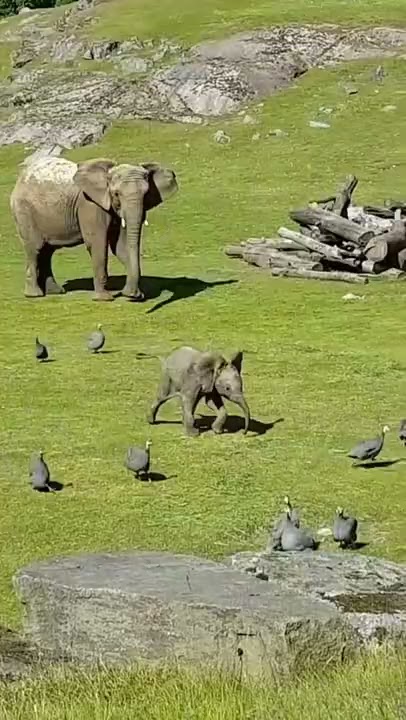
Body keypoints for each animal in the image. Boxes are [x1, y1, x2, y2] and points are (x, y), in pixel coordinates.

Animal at [10, 156, 178, 301]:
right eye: (116, 194)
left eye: (146, 193)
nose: (134, 294)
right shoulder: (90, 205)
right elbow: (98, 244)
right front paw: (105, 299)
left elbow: (120, 247)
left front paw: (133, 296)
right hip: (24, 211)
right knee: (35, 249)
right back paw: (34, 295)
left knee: (47, 252)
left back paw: (55, 292)